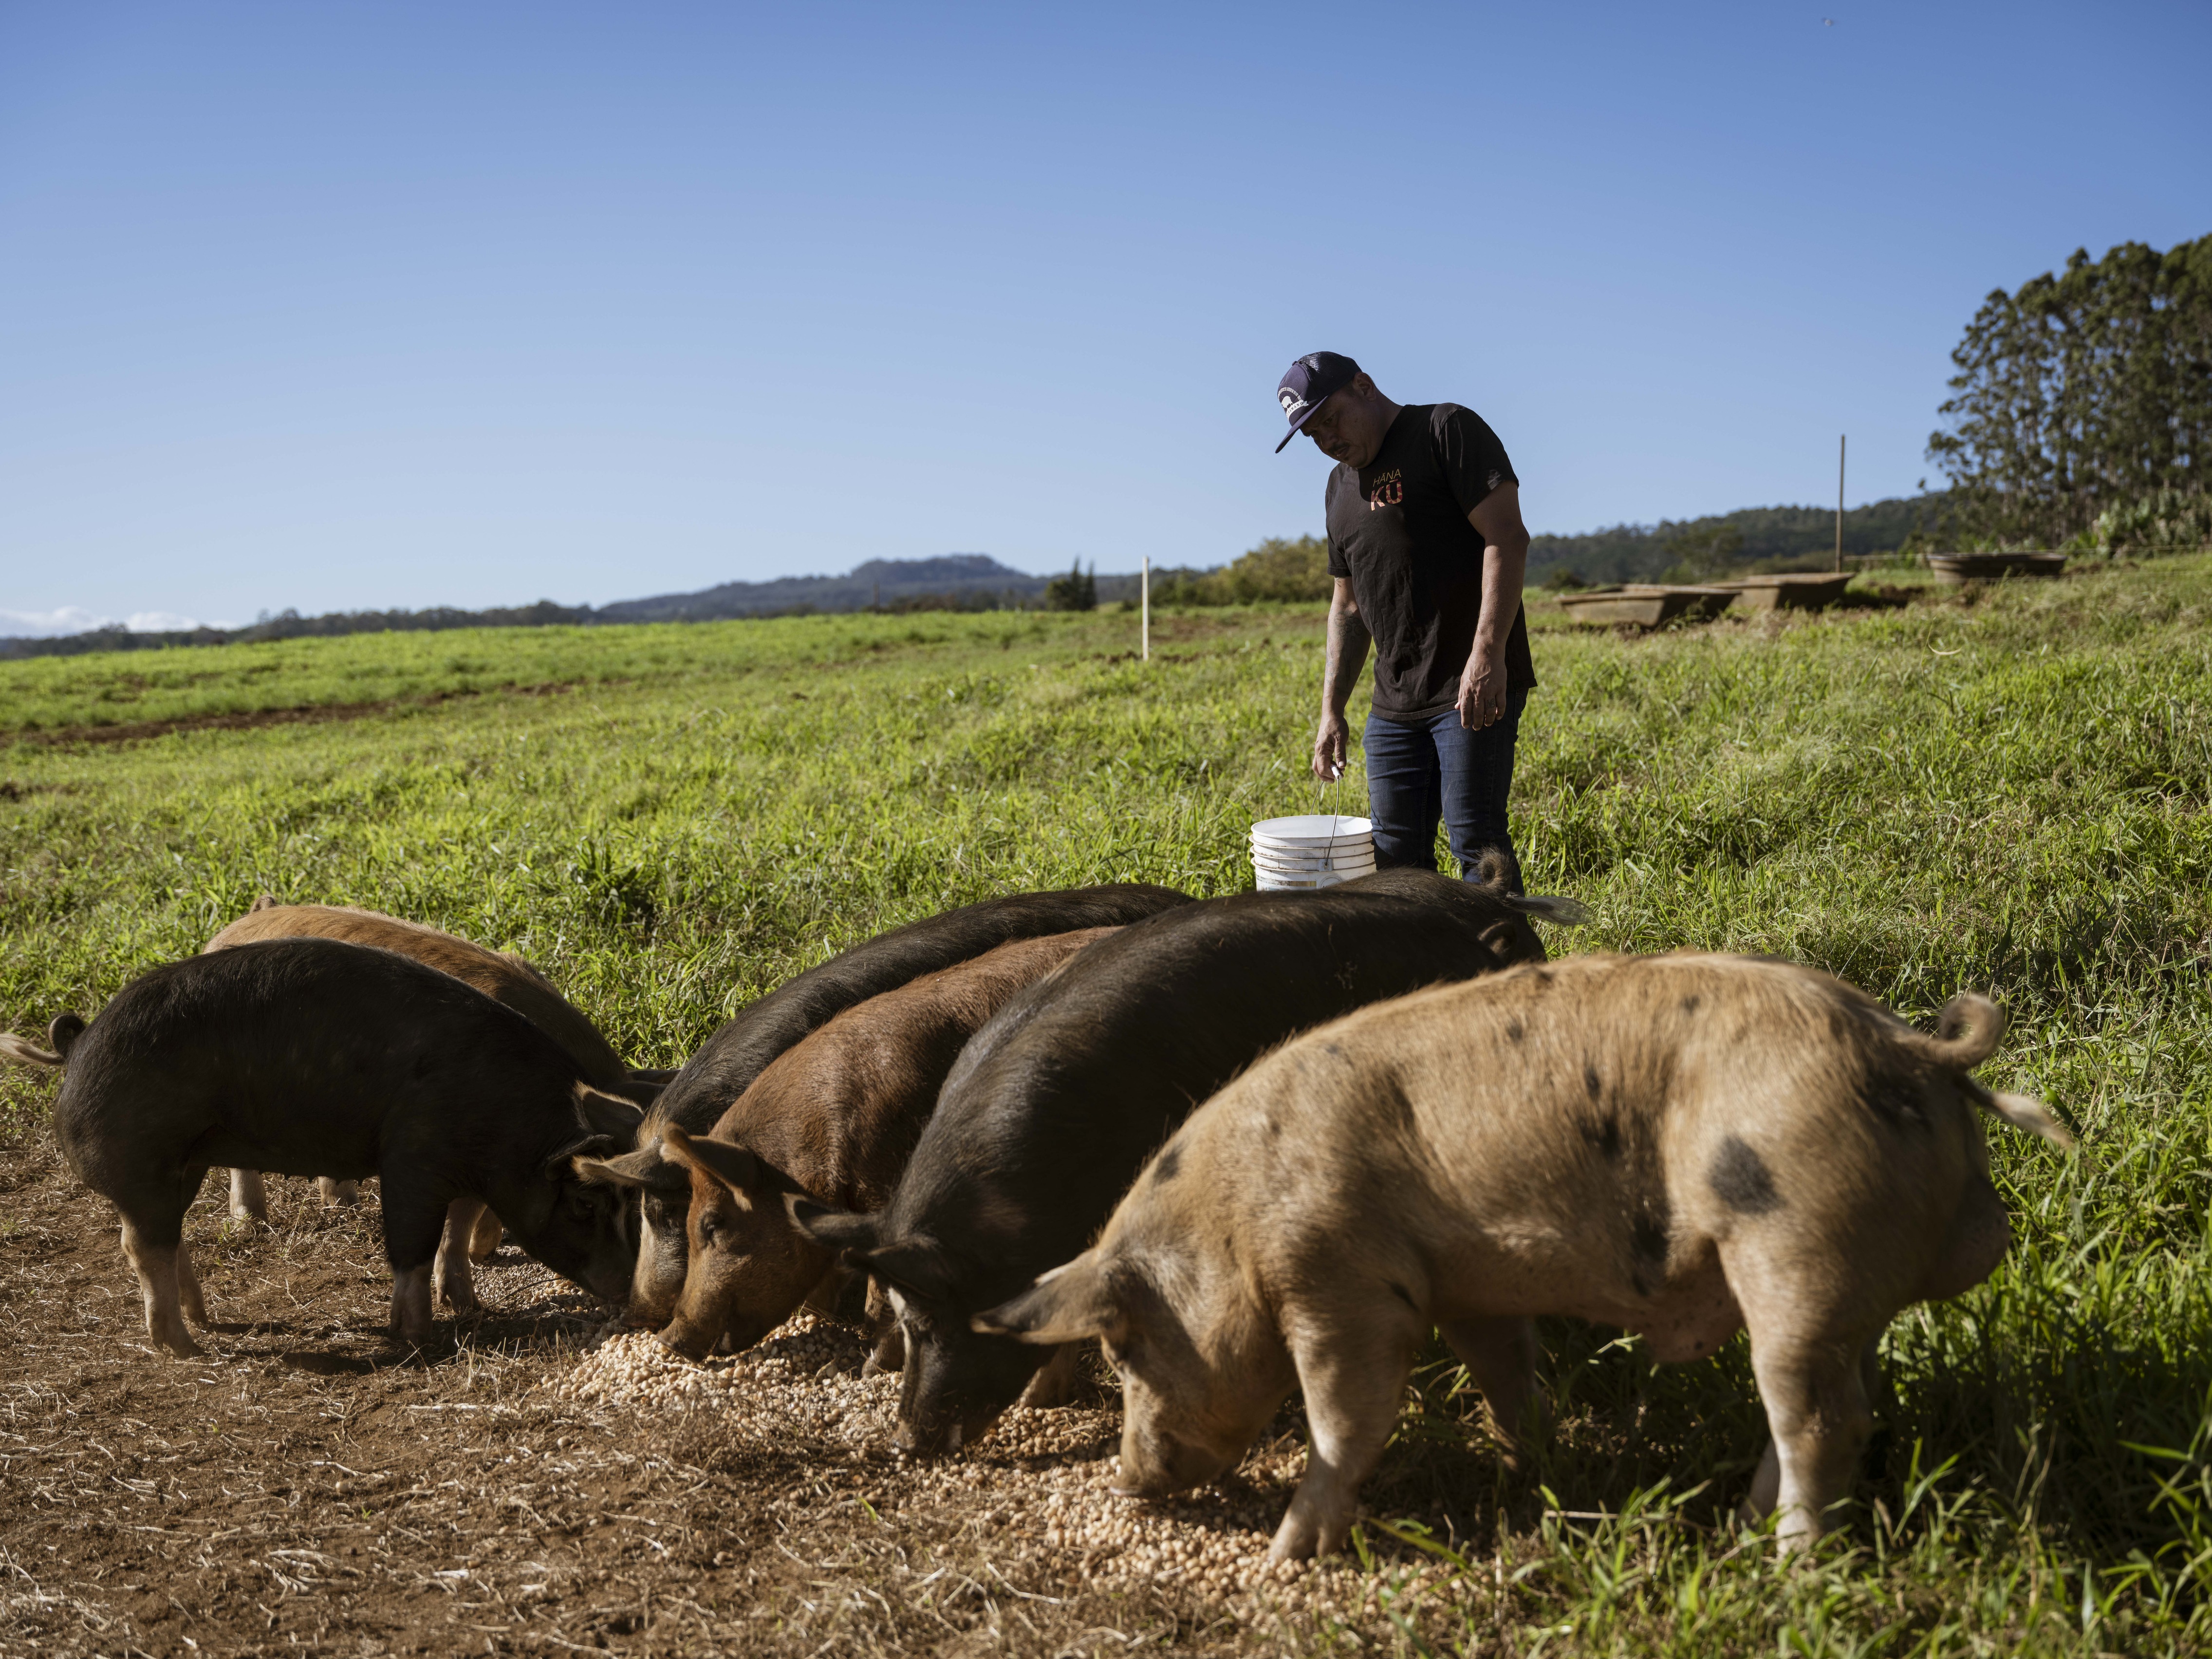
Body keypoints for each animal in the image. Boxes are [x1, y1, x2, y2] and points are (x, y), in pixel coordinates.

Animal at [2, 938, 644, 1359]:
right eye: (584, 1205)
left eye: (629, 1205)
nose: (631, 1290)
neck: (507, 1130)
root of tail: (78, 1043)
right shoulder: (411, 1157)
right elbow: (412, 1244)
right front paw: (416, 1337)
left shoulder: (470, 1174)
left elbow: (457, 1232)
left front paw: (470, 1308)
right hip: (146, 1163)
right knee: (141, 1244)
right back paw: (185, 1347)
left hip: (181, 1167)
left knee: (168, 1237)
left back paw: (203, 1318)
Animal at [790, 863, 1585, 1455]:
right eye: (903, 1322)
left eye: (934, 1320)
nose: (901, 1442)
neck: (1022, 1201)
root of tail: (1484, 926)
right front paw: (1050, 1401)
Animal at [976, 954, 2075, 1559]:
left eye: (1122, 1350)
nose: (1127, 1478)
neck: (1230, 1220)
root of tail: (1915, 1050)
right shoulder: (1468, 1284)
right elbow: (1507, 1373)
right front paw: (1530, 1467)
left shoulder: (1341, 1279)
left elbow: (1346, 1412)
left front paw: (1290, 1556)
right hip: (1836, 1281)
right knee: (1837, 1397)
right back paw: (1739, 1525)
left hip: (1794, 1242)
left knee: (1821, 1415)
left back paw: (1787, 1562)